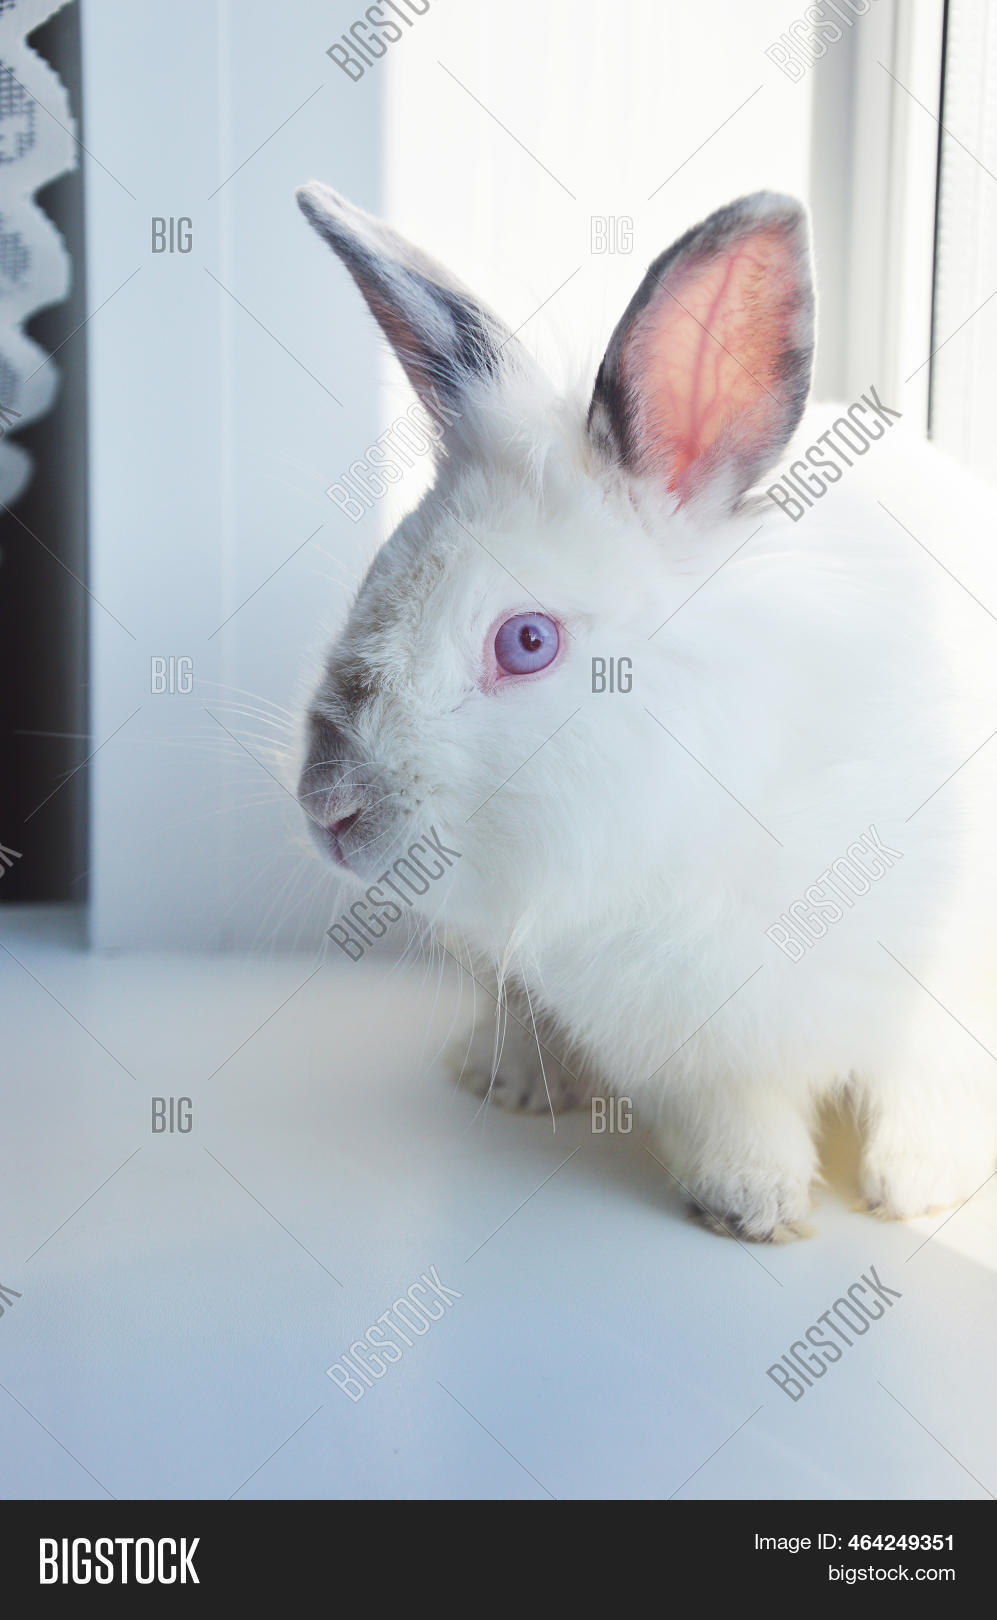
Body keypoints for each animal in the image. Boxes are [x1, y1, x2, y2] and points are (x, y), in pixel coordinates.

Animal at [294, 180, 997, 1241]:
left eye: (526, 642)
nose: (325, 809)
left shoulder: (948, 998)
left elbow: (930, 1092)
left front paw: (920, 1192)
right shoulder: (693, 1045)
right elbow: (736, 1118)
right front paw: (753, 1205)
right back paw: (509, 1079)